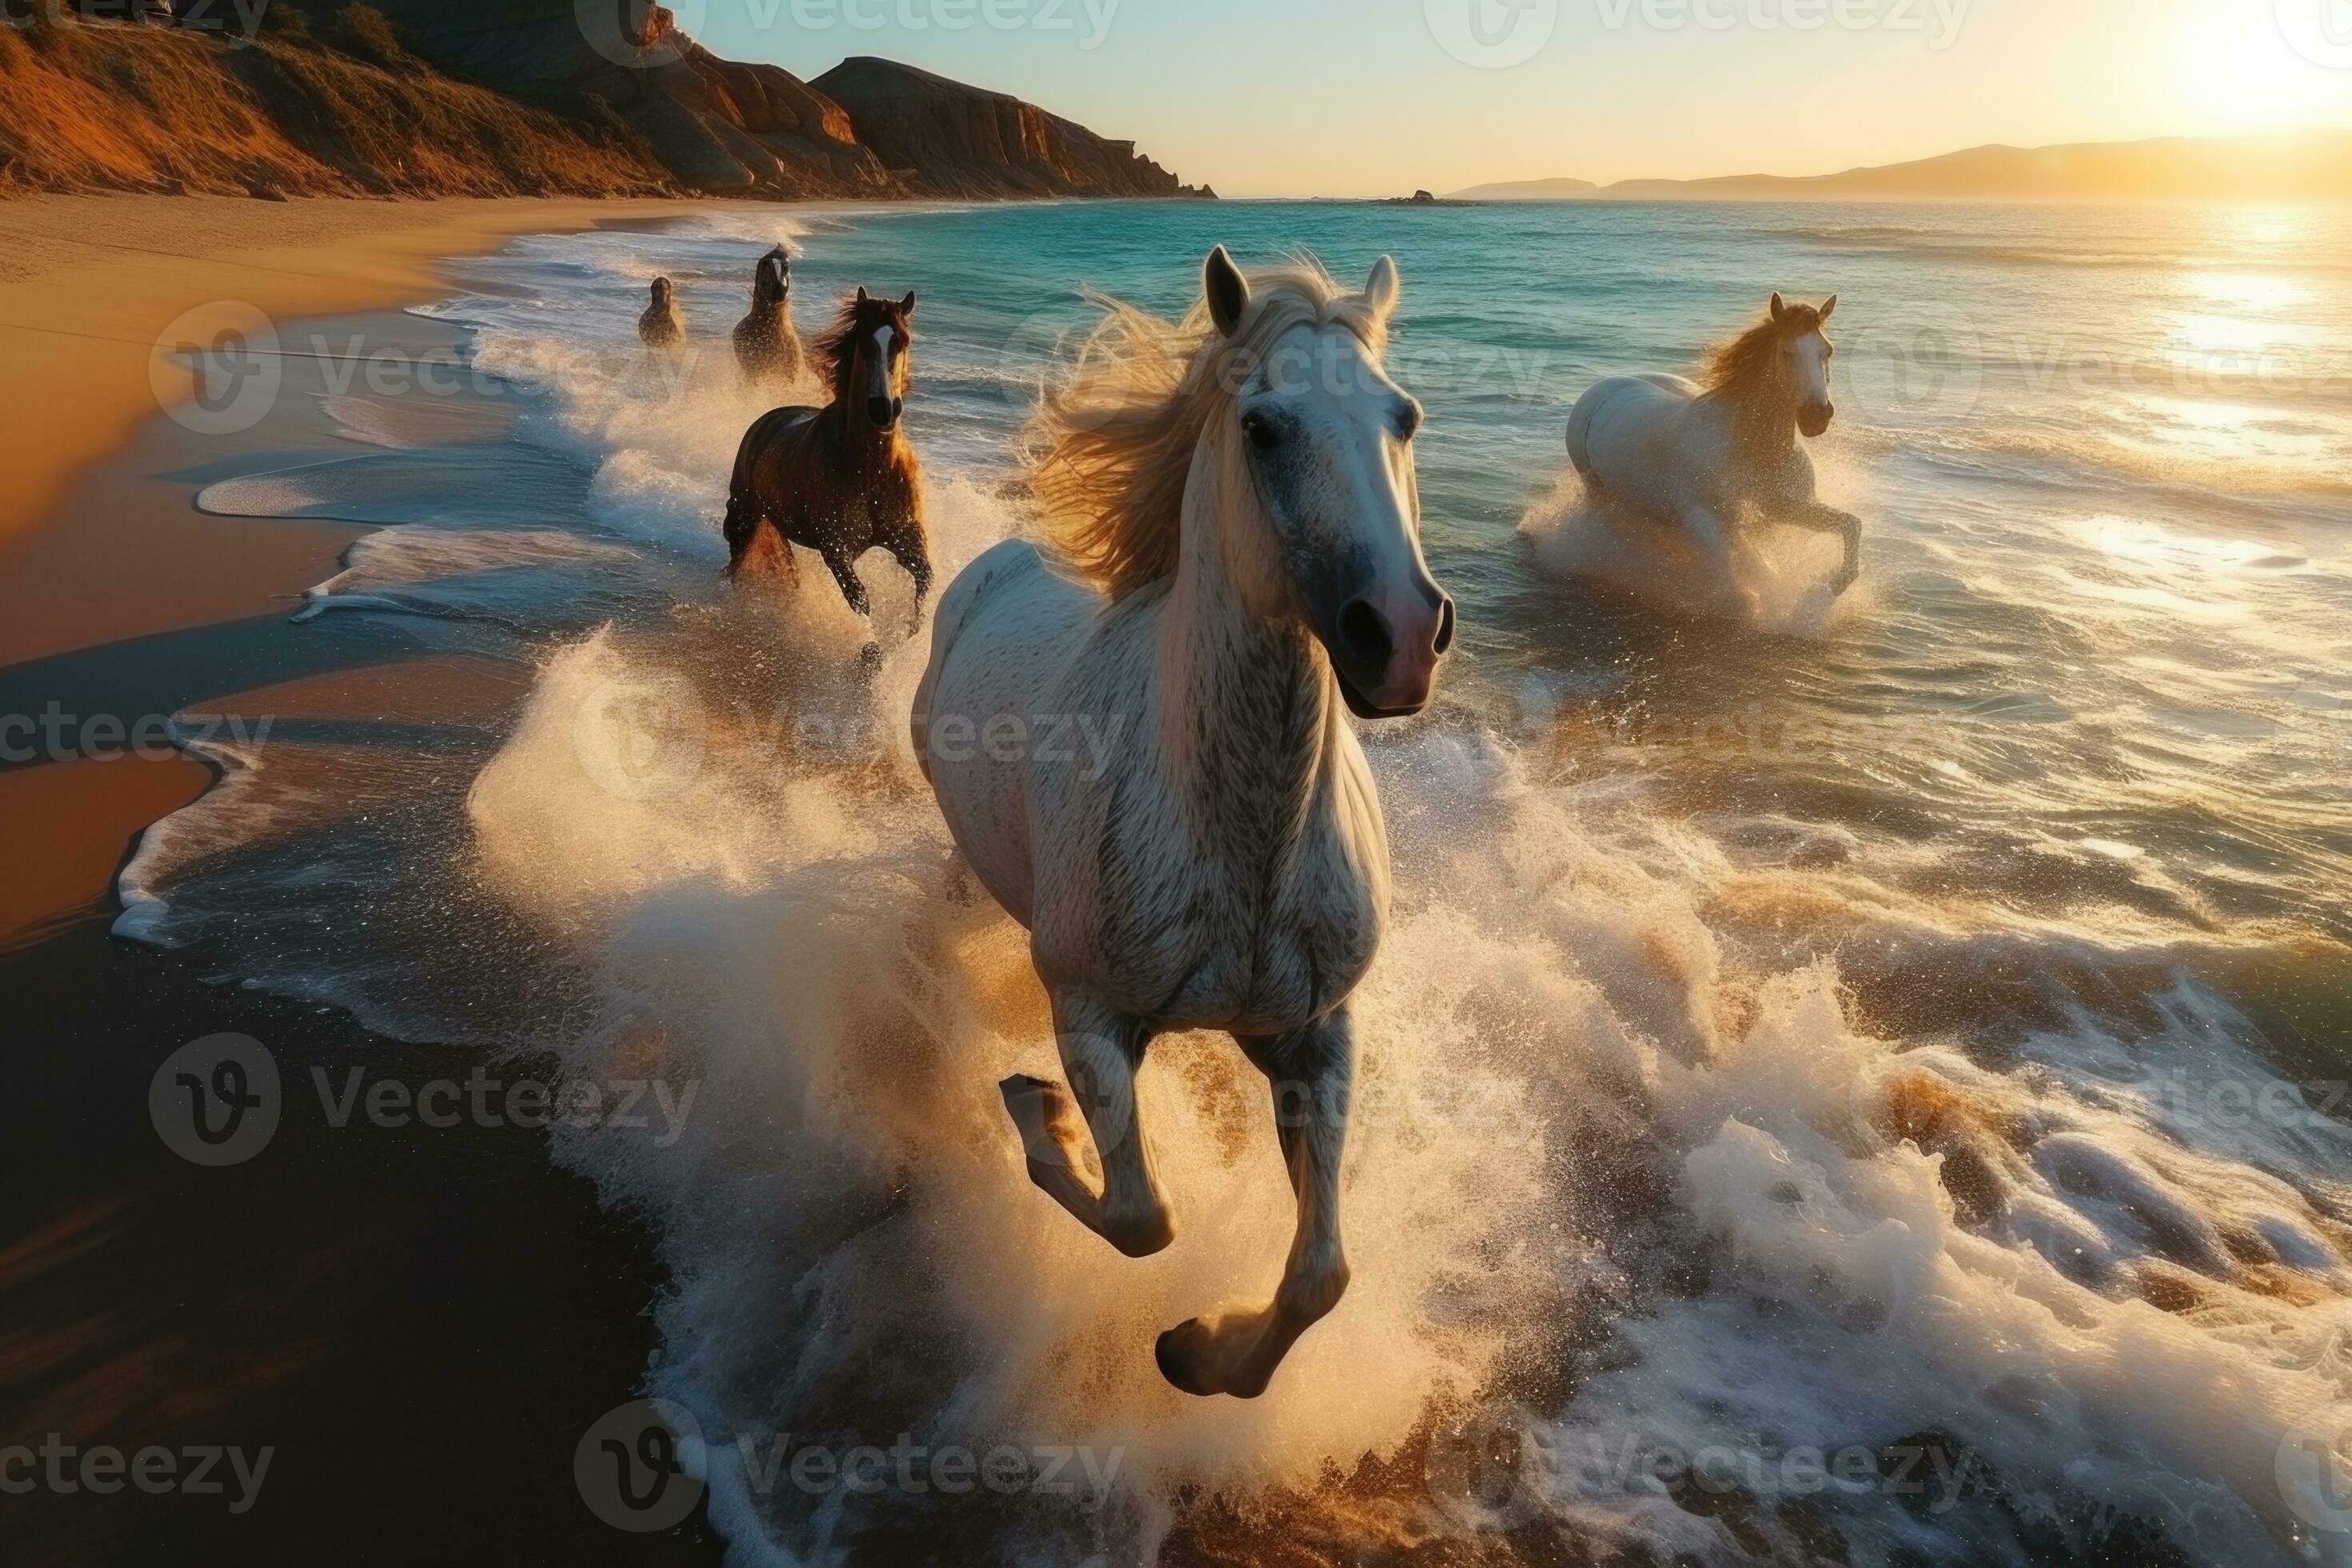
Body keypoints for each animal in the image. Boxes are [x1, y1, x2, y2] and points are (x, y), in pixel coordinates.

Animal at [722, 289, 928, 650]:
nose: (883, 410)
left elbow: (924, 585)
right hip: (745, 516)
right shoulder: (836, 547)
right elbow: (860, 599)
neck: (868, 469)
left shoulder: (909, 539)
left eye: (902, 340)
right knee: (737, 564)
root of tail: (764, 421)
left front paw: (907, 640)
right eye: (864, 341)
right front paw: (872, 653)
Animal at [911, 249, 1454, 1399]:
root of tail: (1000, 562)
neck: (1241, 848)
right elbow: (1141, 1217)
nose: (1398, 637)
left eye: (1404, 417)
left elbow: (1321, 1274)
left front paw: (1202, 1353)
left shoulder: (1316, 1035)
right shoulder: (1086, 1011)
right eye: (1262, 427)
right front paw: (1039, 1116)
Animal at [1565, 293, 1862, 616]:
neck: (1753, 447)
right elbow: (1742, 596)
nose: (1816, 417)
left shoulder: (1788, 508)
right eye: (1786, 352)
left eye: (1827, 351)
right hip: (1595, 490)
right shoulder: (1704, 518)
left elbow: (1851, 524)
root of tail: (1602, 388)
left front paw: (1832, 585)